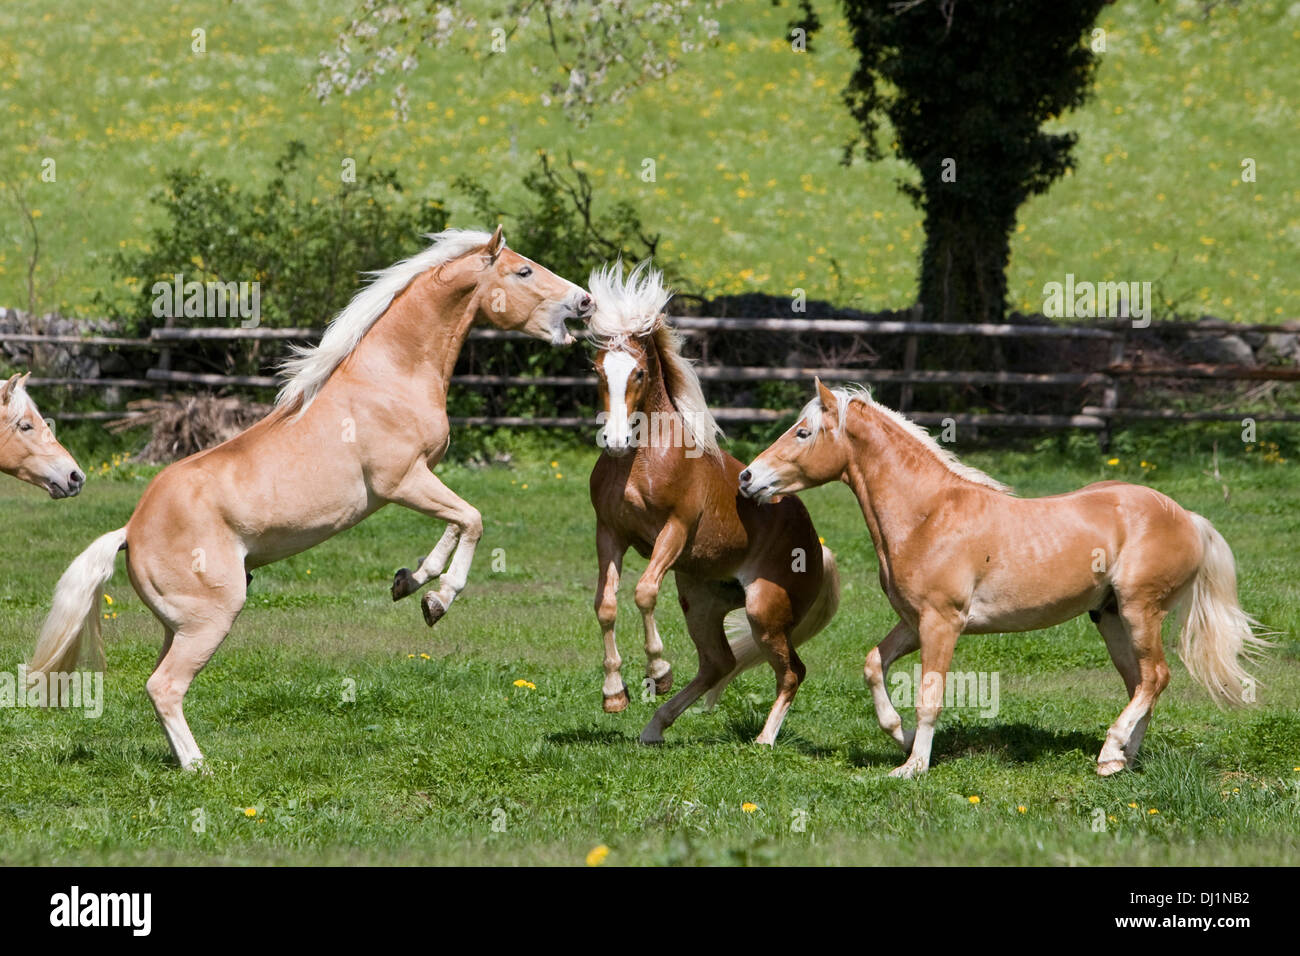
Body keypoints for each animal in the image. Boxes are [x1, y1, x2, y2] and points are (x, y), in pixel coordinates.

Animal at [27, 227, 594, 770]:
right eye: (524, 270)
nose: (584, 301)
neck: (390, 375)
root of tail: (130, 530)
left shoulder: (421, 481)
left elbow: (455, 525)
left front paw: (409, 582)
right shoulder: (403, 482)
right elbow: (472, 519)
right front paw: (437, 600)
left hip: (179, 625)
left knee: (160, 683)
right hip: (212, 617)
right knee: (164, 686)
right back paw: (199, 767)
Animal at [587, 264, 840, 745]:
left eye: (640, 373)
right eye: (598, 372)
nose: (615, 440)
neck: (643, 461)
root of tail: (817, 547)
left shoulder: (675, 529)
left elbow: (644, 592)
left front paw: (658, 670)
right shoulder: (610, 533)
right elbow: (605, 605)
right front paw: (614, 694)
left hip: (763, 611)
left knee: (792, 671)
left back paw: (764, 740)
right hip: (700, 601)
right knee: (718, 664)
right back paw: (655, 727)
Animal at [738, 379, 1269, 777]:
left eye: (802, 432)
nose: (747, 478)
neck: (928, 516)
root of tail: (1188, 517)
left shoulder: (942, 623)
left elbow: (930, 696)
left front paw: (913, 767)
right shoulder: (914, 622)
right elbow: (874, 665)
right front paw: (901, 739)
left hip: (1142, 610)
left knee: (1156, 677)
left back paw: (1110, 749)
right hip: (1112, 618)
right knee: (1141, 682)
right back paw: (1118, 761)